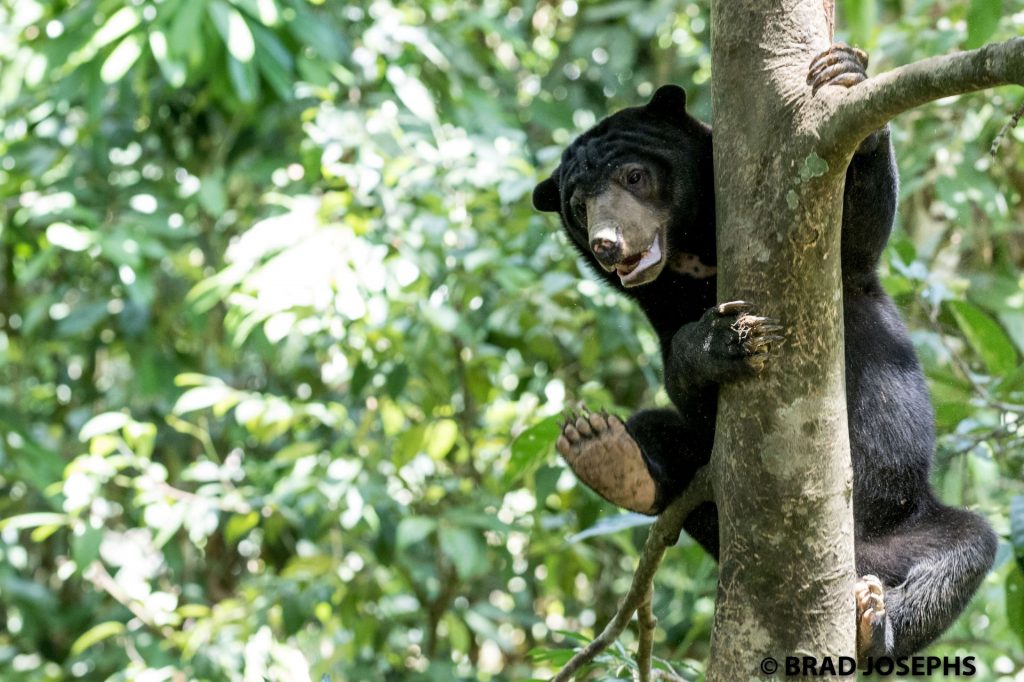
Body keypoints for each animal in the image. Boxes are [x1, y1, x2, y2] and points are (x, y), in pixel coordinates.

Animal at [532, 44, 996, 661]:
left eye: (634, 175)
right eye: (580, 206)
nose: (609, 245)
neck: (693, 253)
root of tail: (852, 554)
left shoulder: (839, 260)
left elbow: (856, 236)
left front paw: (846, 79)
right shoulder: (660, 308)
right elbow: (681, 377)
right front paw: (723, 341)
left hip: (910, 521)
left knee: (967, 550)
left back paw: (873, 622)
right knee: (661, 434)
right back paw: (606, 454)